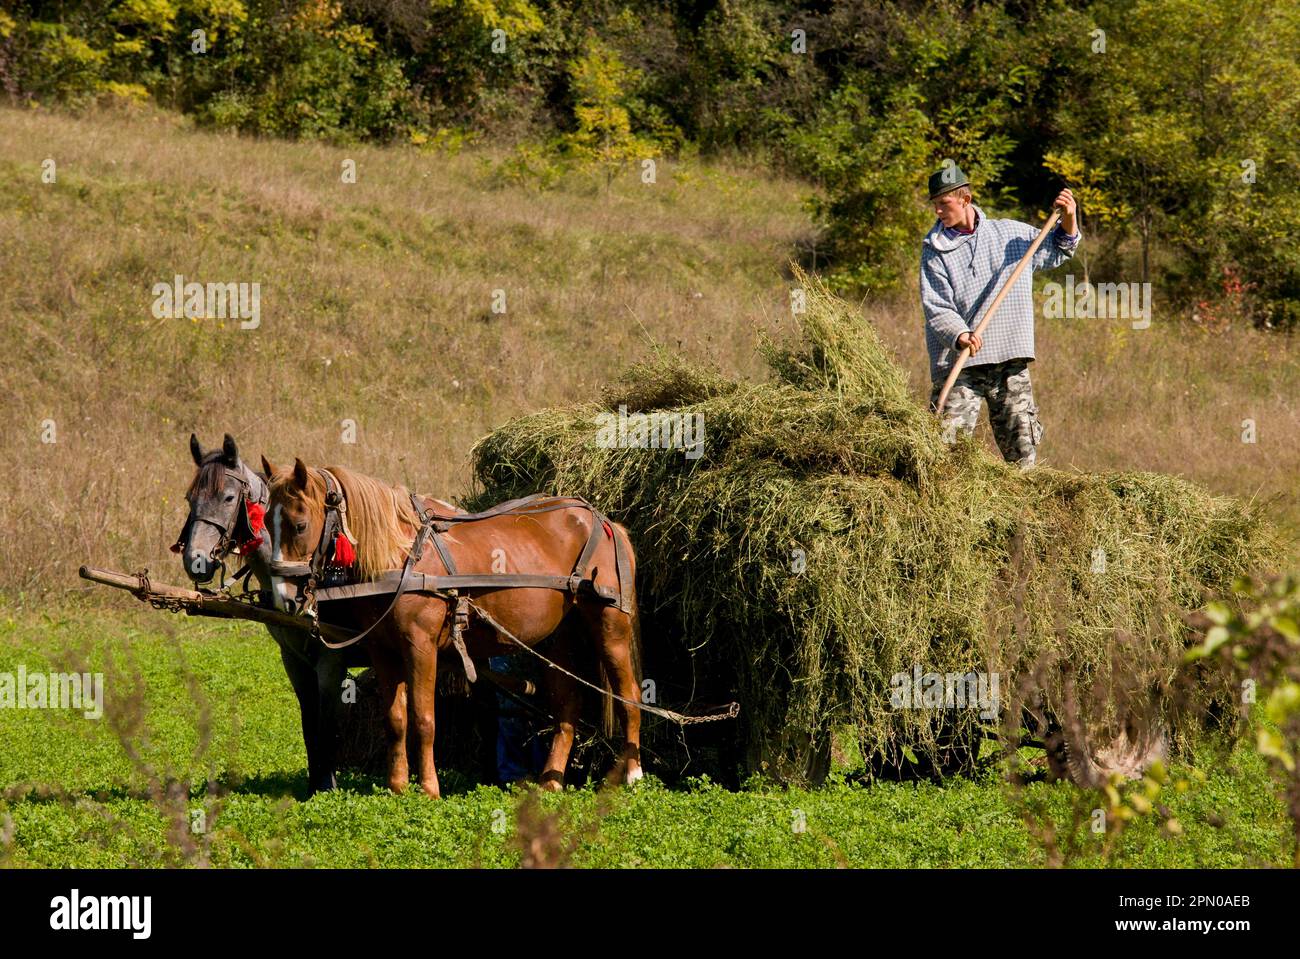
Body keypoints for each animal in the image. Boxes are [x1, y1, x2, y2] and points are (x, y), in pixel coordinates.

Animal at [175, 434, 463, 794]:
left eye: (228, 497)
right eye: (190, 498)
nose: (196, 560)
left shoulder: (330, 660)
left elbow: (326, 723)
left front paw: (328, 784)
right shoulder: (294, 660)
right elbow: (309, 723)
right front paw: (314, 784)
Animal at [261, 457, 644, 797]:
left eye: (299, 524)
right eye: (266, 521)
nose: (284, 598)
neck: (402, 557)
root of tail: (603, 521)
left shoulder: (420, 646)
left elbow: (424, 718)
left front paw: (429, 788)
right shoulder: (383, 651)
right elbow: (395, 719)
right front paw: (397, 787)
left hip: (610, 627)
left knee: (630, 696)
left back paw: (631, 774)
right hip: (557, 639)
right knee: (568, 704)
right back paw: (551, 781)